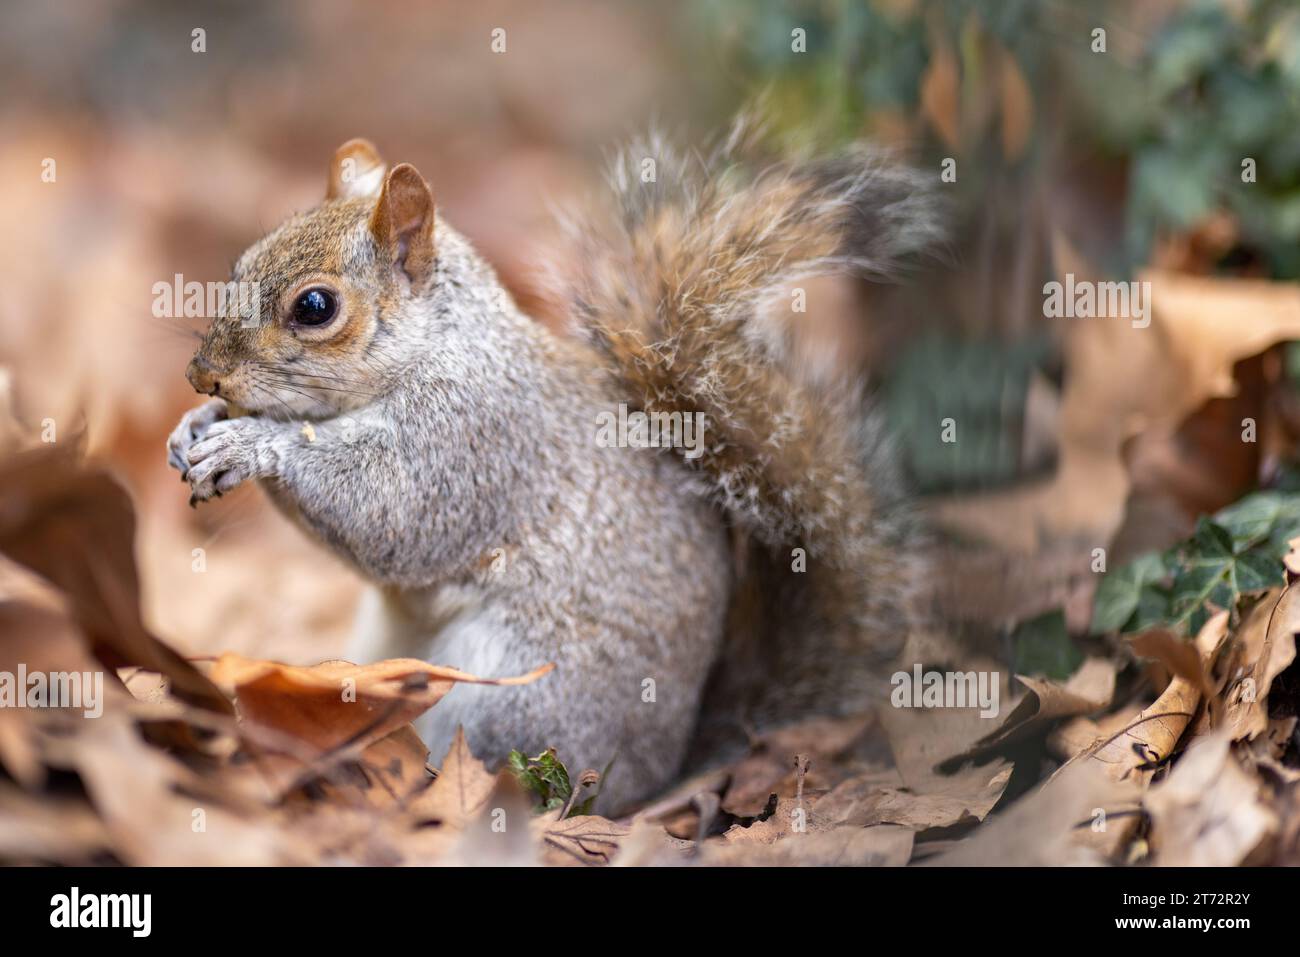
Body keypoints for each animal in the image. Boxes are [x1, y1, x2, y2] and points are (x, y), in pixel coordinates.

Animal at [166, 125, 941, 811]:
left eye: (315, 306)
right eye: (241, 264)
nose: (202, 375)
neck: (440, 347)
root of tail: (670, 763)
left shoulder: (474, 441)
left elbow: (392, 513)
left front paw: (250, 442)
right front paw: (193, 429)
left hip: (513, 698)